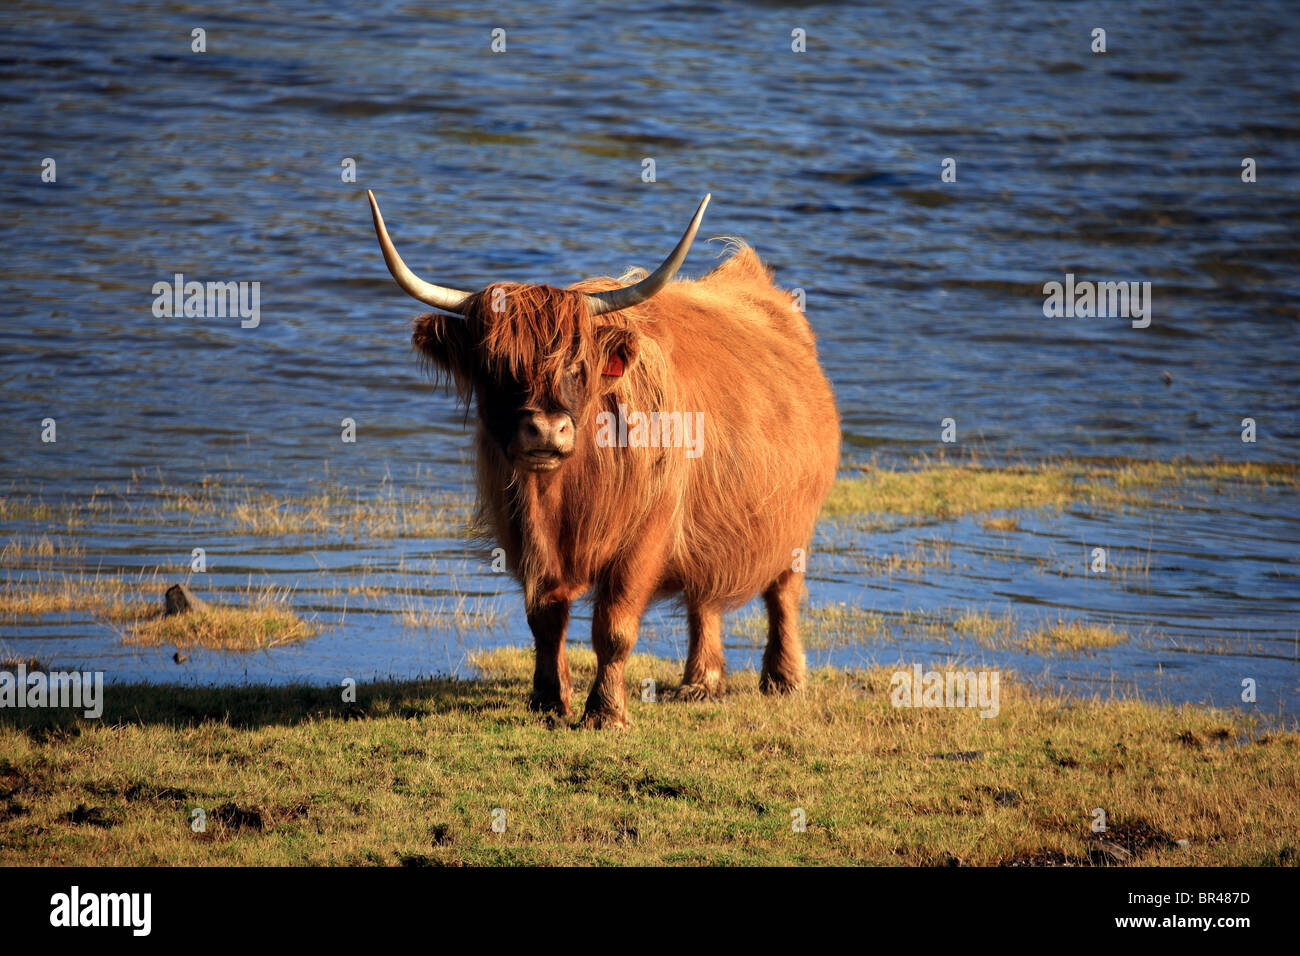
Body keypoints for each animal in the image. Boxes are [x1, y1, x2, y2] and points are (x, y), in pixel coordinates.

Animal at [367, 191, 840, 728]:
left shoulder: (645, 538)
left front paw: (606, 712)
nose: (545, 430)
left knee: (783, 594)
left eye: (578, 366)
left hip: (795, 523)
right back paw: (701, 683)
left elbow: (613, 627)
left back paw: (783, 678)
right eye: (494, 368)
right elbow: (545, 620)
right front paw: (549, 702)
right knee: (705, 598)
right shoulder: (526, 539)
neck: (565, 495)